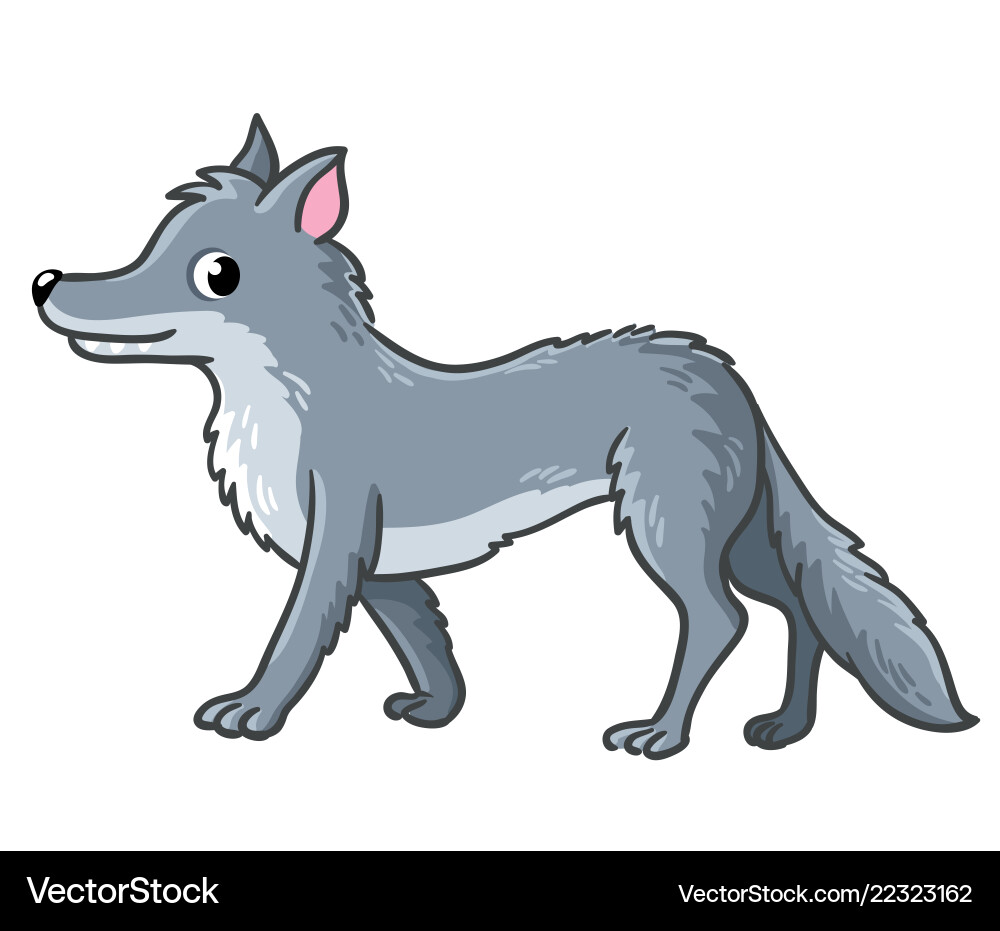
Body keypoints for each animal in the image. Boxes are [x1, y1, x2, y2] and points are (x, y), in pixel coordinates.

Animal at [33, 116, 976, 757]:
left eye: (216, 273)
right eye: (149, 247)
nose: (45, 282)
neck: (288, 404)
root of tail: (726, 373)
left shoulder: (334, 543)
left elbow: (295, 641)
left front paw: (253, 712)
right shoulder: (383, 568)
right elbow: (427, 646)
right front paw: (436, 713)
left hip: (668, 529)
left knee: (722, 620)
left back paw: (662, 734)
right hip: (730, 532)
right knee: (799, 610)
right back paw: (785, 727)